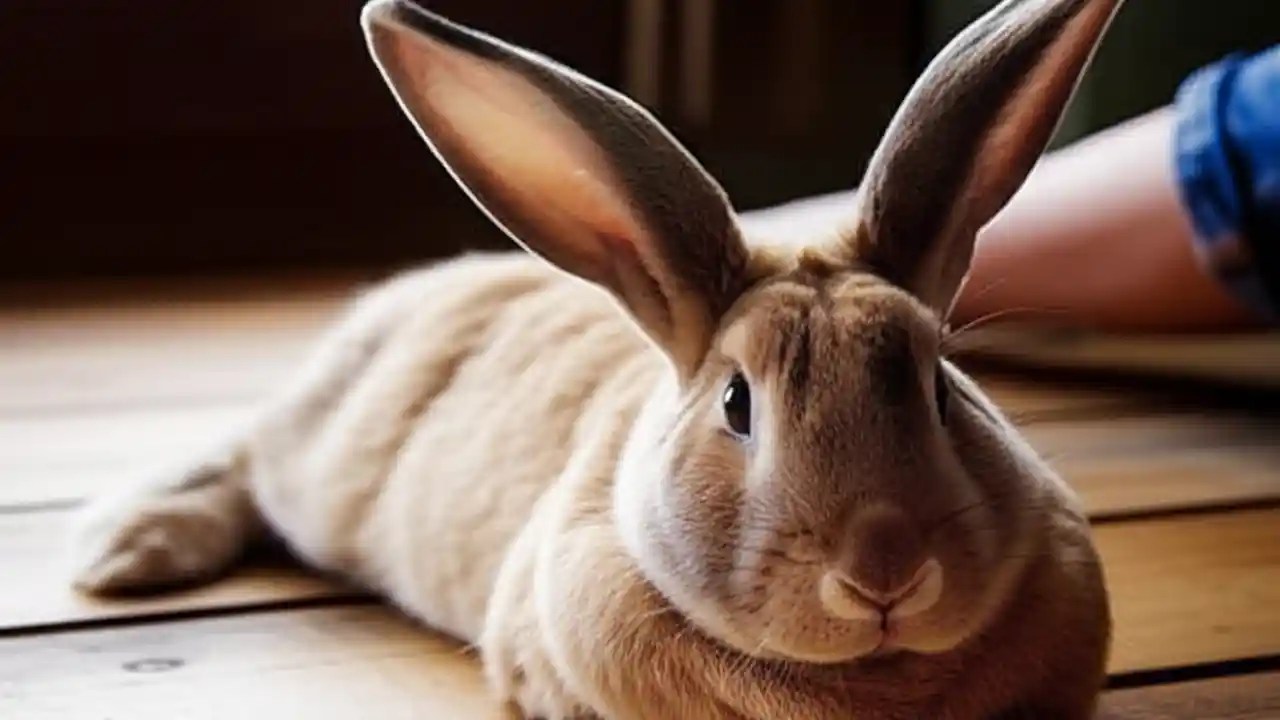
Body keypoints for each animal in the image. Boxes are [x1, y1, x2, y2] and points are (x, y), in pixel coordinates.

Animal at [69, 0, 1121, 717]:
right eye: (737, 404)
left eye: (941, 389)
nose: (886, 572)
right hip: (317, 458)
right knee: (244, 458)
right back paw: (125, 552)